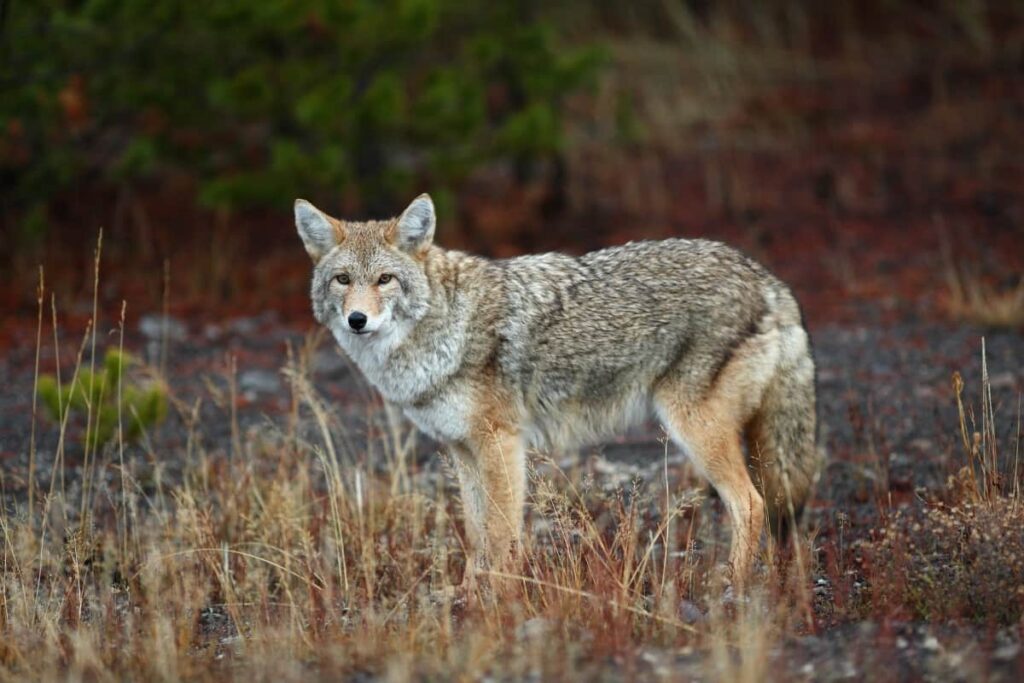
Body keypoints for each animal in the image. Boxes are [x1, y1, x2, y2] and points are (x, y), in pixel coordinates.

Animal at [294, 193, 821, 592]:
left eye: (385, 279)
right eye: (343, 280)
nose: (357, 320)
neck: (443, 328)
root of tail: (767, 279)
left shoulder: (501, 443)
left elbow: (502, 534)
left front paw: (501, 597)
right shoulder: (462, 450)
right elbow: (476, 533)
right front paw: (468, 592)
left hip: (696, 431)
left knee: (751, 504)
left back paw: (732, 583)